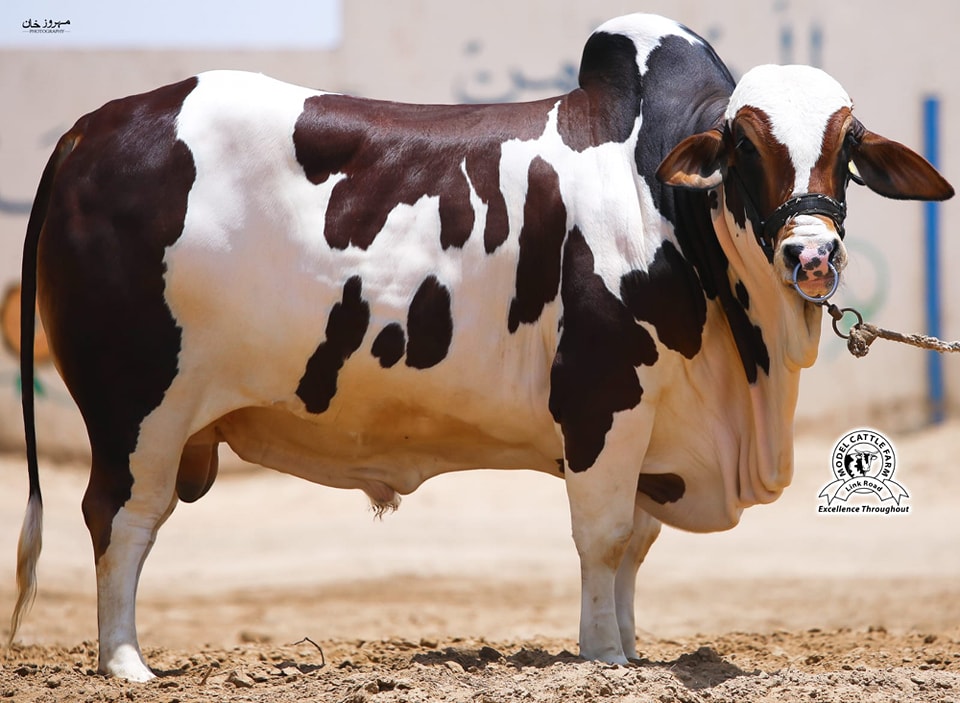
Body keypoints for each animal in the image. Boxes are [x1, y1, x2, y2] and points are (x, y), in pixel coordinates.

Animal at [9, 13, 953, 681]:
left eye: (846, 147)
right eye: (745, 148)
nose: (812, 255)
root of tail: (91, 129)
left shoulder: (656, 437)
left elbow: (635, 548)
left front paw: (630, 645)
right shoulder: (603, 401)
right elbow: (603, 536)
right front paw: (603, 656)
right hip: (138, 409)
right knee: (121, 518)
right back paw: (126, 662)